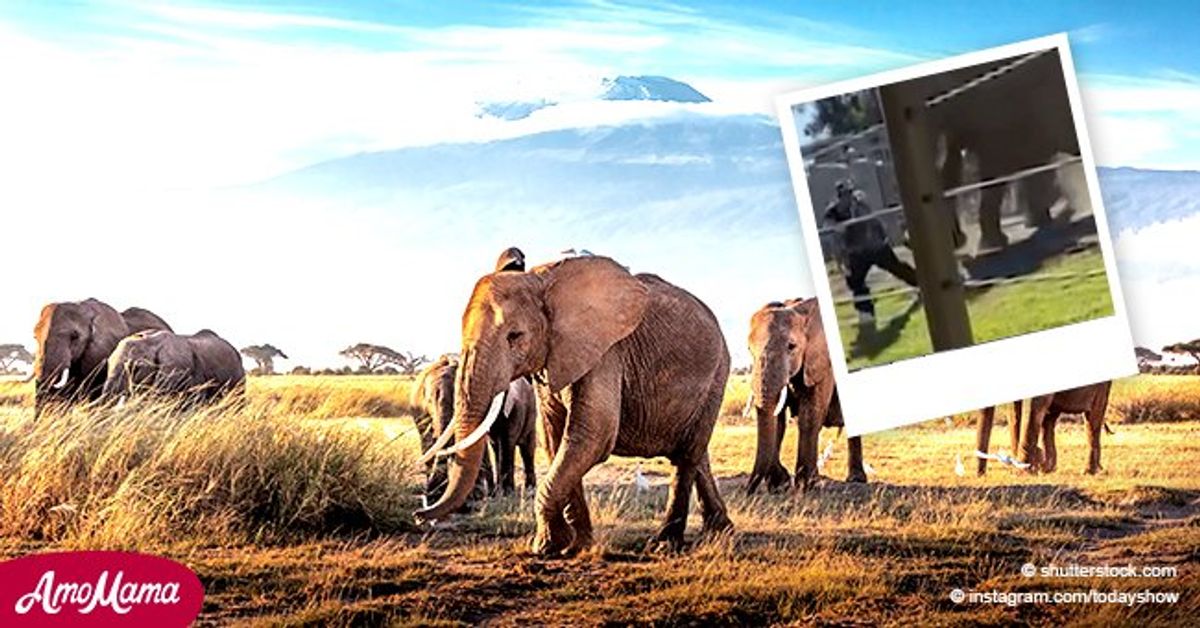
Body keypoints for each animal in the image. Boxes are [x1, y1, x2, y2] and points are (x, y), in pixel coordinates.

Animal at [415, 255, 733, 555]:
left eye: (514, 336)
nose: (419, 515)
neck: (541, 279)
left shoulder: (606, 353)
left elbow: (592, 435)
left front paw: (547, 547)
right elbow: (556, 437)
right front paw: (575, 545)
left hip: (717, 374)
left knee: (687, 456)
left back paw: (665, 544)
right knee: (695, 453)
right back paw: (720, 531)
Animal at [745, 298, 866, 493]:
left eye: (791, 346)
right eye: (749, 349)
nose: (748, 492)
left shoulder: (822, 366)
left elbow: (809, 417)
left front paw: (806, 485)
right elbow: (778, 422)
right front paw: (780, 485)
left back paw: (856, 480)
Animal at [975, 380, 1113, 475]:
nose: (981, 474)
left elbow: (1033, 406)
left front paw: (1025, 471)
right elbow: (1015, 414)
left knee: (1092, 419)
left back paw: (1088, 471)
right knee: (1049, 419)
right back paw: (1047, 469)